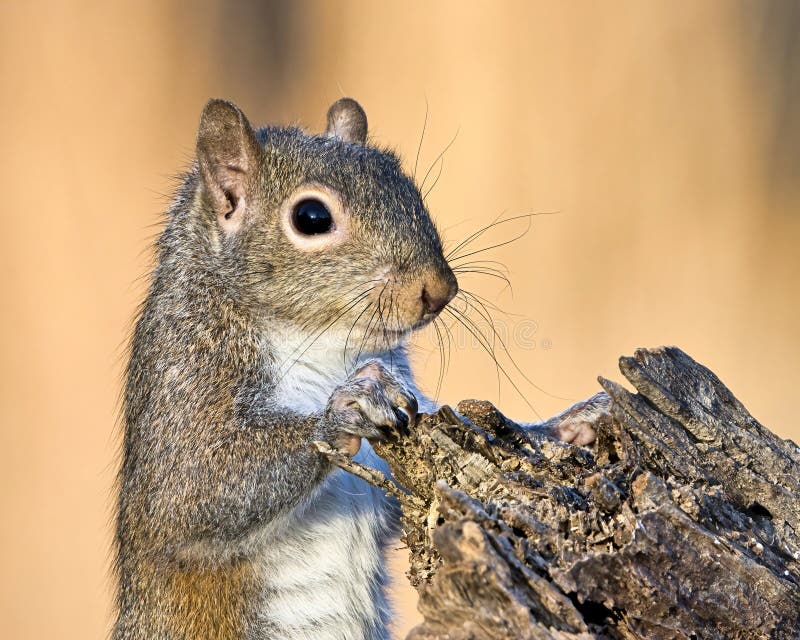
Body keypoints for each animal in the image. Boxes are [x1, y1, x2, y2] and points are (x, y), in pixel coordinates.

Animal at [113, 97, 608, 640]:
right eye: (311, 217)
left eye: (408, 188)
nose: (439, 289)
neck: (322, 342)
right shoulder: (184, 375)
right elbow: (192, 492)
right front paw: (348, 409)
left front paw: (564, 425)